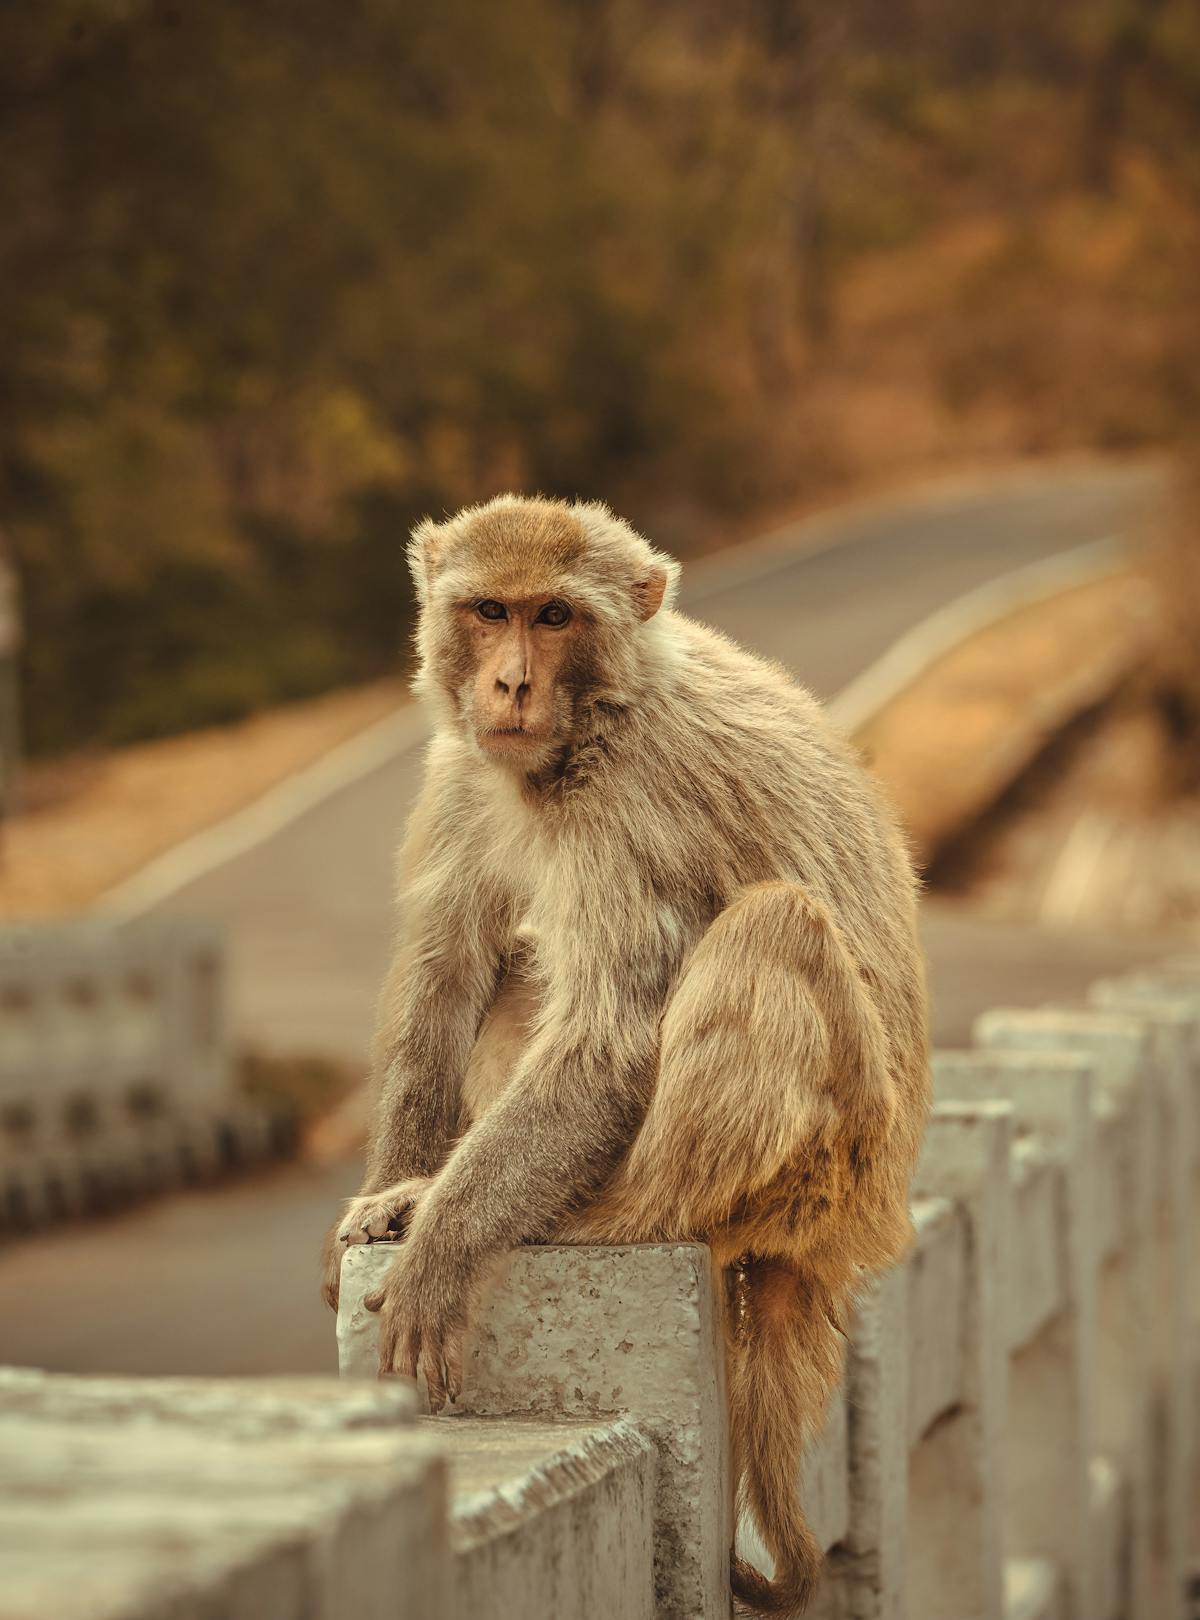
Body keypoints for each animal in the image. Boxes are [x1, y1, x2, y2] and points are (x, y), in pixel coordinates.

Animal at [320, 494, 930, 1615]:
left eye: (555, 616)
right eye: (491, 610)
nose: (511, 682)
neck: (589, 727)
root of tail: (856, 1224)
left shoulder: (632, 806)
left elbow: (607, 1042)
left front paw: (443, 1244)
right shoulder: (465, 772)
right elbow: (445, 979)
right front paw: (391, 1195)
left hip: (826, 1164)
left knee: (773, 926)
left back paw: (602, 1217)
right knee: (521, 971)